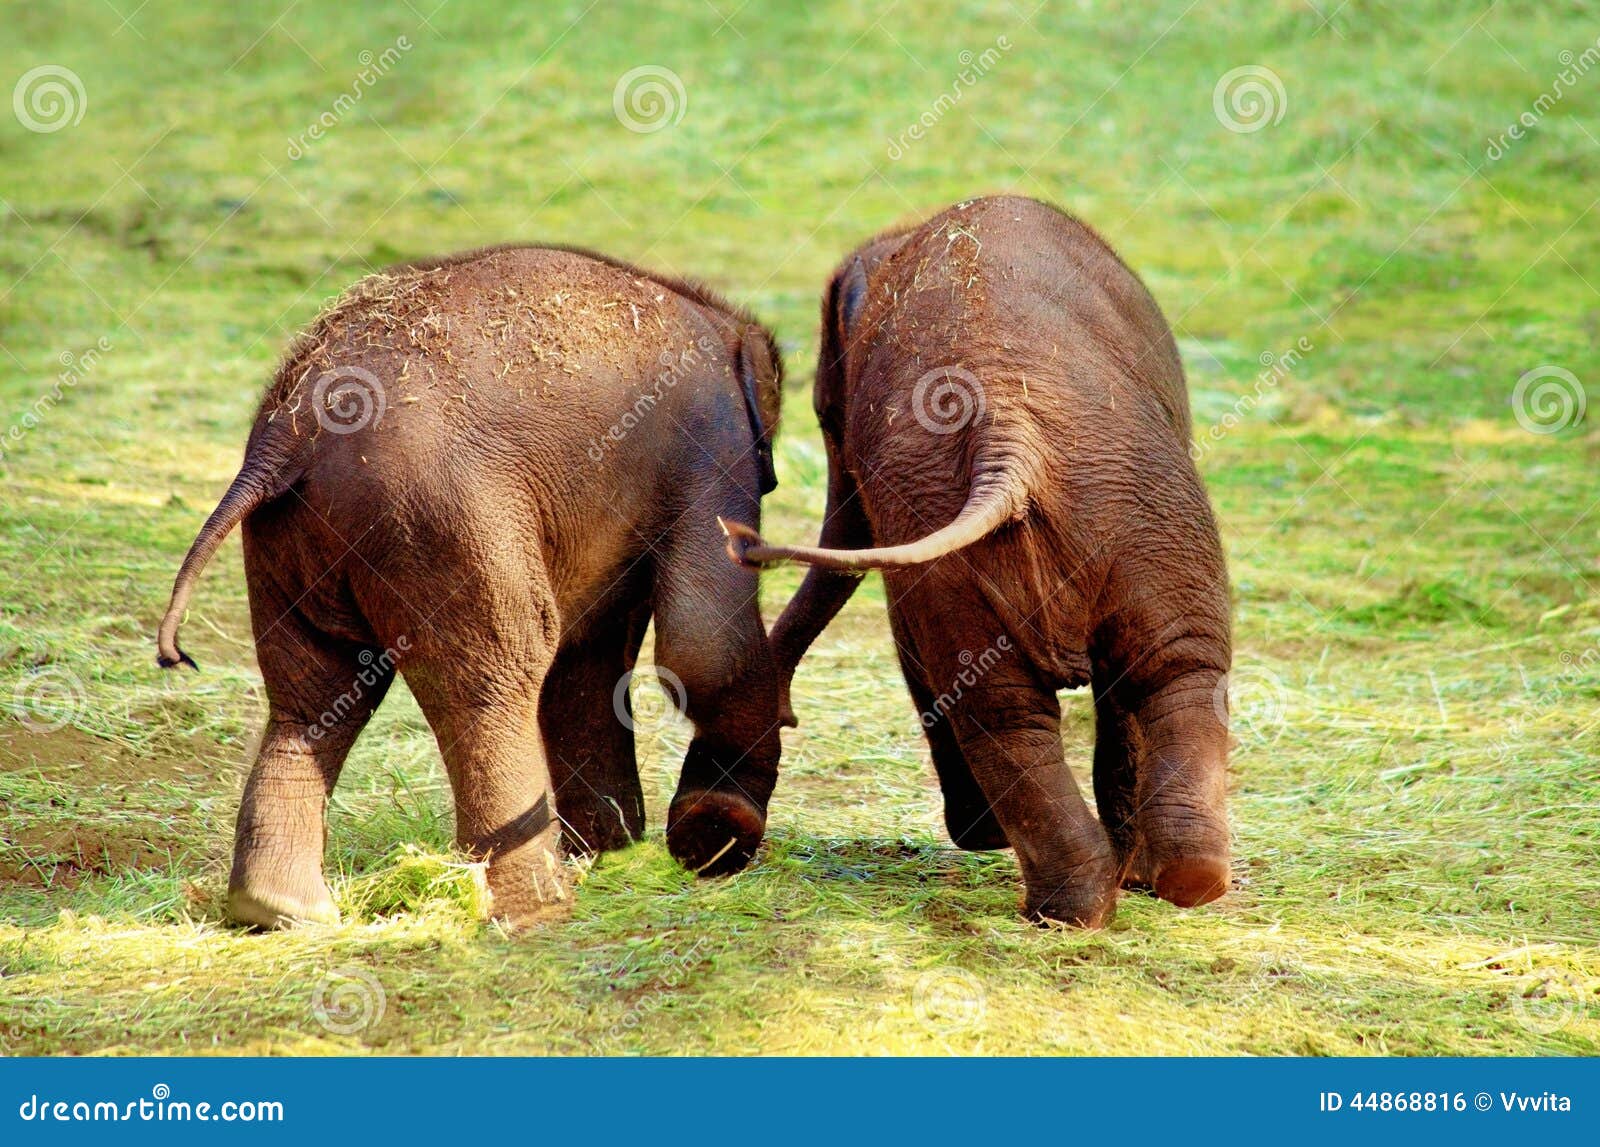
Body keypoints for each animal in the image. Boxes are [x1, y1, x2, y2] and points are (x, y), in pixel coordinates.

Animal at [157, 244, 785, 929]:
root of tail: (289, 434)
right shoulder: (714, 443)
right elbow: (702, 647)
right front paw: (715, 836)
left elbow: (589, 656)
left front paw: (613, 848)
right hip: (443, 517)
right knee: (498, 675)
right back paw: (537, 909)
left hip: (293, 542)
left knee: (314, 687)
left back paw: (282, 912)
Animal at [723, 196, 1232, 927]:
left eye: (821, 415)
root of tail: (1009, 440)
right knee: (1058, 697)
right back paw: (1095, 899)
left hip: (1135, 517)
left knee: (1138, 676)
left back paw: (1148, 884)